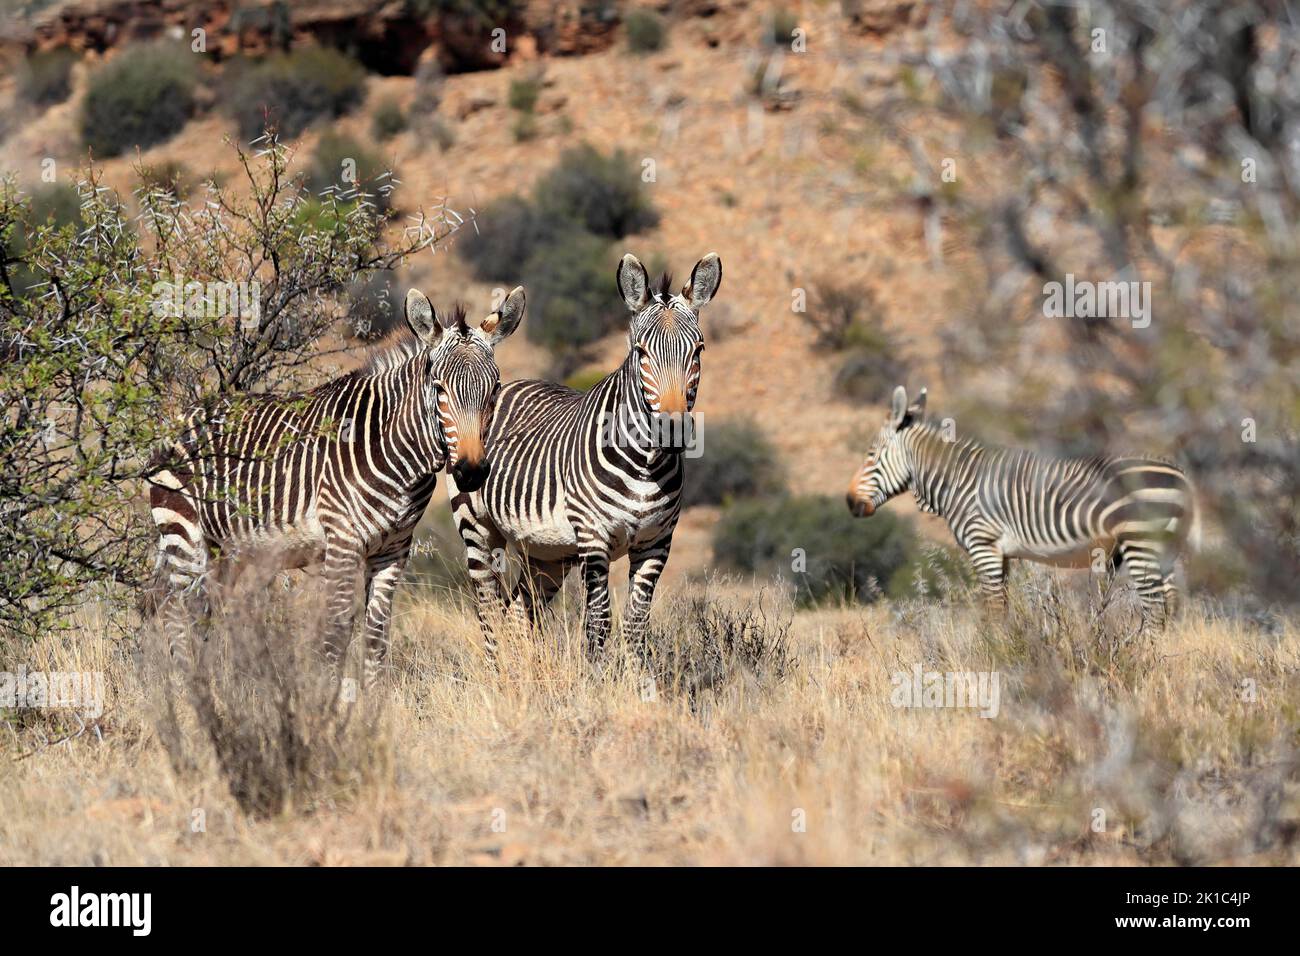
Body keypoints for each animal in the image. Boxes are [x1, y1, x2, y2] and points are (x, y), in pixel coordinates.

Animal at [147, 286, 525, 683]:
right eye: (438, 389)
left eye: (495, 389)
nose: (471, 473)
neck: (395, 453)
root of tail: (183, 415)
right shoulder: (343, 543)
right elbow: (337, 633)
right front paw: (331, 697)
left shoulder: (393, 551)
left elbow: (376, 637)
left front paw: (371, 698)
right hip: (183, 533)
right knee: (176, 610)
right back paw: (188, 686)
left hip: (224, 547)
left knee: (201, 612)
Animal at [448, 253, 722, 658]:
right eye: (640, 352)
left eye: (698, 350)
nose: (670, 431)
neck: (645, 465)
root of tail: (506, 384)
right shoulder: (594, 539)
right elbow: (598, 622)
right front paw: (597, 675)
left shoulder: (656, 543)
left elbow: (636, 624)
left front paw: (637, 678)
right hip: (478, 528)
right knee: (489, 611)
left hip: (547, 552)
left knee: (517, 615)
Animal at [846, 385, 1197, 628]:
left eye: (871, 455)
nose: (849, 503)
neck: (959, 481)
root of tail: (1180, 474)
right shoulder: (1002, 555)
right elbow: (1003, 607)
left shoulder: (983, 546)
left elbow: (993, 610)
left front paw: (997, 656)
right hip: (1163, 548)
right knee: (1171, 605)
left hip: (1141, 542)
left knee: (1155, 609)